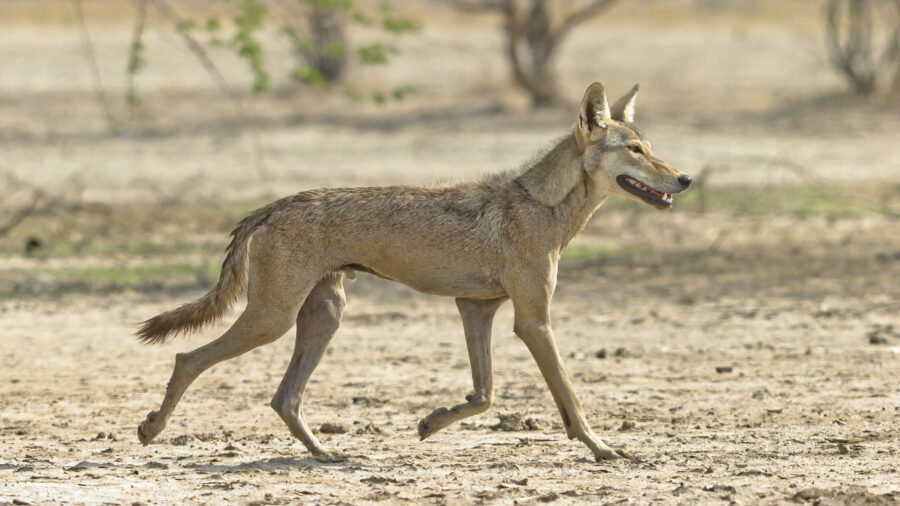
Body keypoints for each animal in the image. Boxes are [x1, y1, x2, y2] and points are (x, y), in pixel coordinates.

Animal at [135, 82, 691, 462]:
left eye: (649, 147)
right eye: (635, 150)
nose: (685, 178)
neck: (543, 205)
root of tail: (273, 205)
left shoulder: (476, 309)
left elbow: (484, 395)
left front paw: (430, 423)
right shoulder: (533, 322)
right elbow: (570, 398)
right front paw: (602, 448)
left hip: (324, 315)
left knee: (284, 397)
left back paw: (325, 454)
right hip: (272, 319)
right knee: (189, 358)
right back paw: (151, 429)